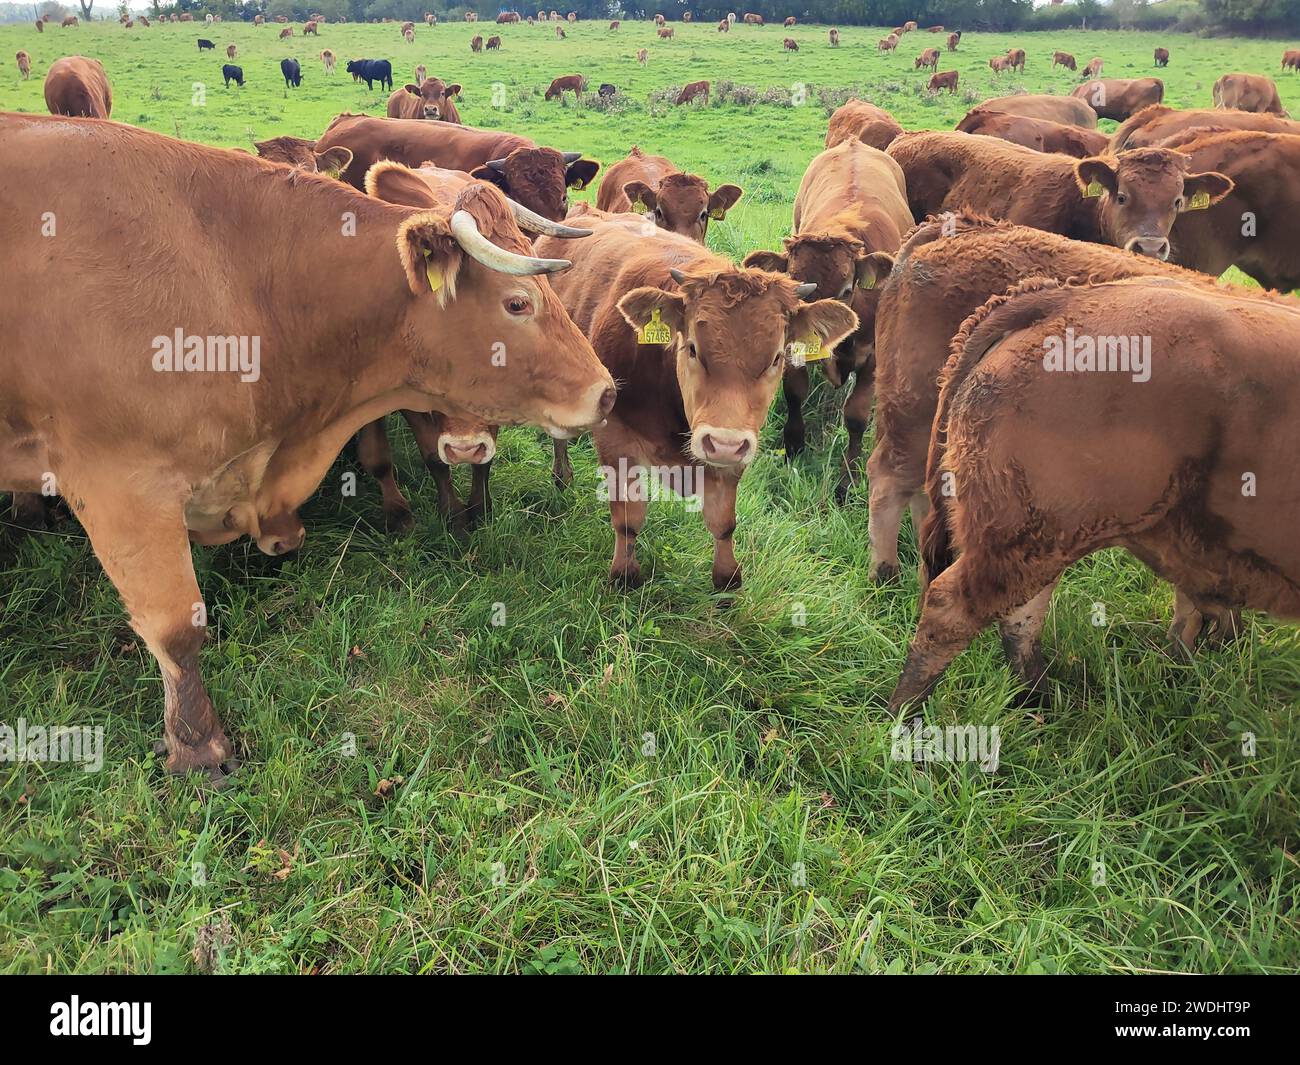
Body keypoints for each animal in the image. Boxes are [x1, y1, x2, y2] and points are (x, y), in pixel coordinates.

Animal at [535, 206, 856, 590]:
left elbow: (723, 523)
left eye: (776, 358)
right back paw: (562, 475)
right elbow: (628, 518)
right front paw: (624, 576)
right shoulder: (615, 438)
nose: (723, 443)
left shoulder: (736, 448)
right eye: (692, 348)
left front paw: (727, 580)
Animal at [742, 140, 911, 499]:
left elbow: (857, 416)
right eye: (793, 286)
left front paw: (848, 480)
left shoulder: (873, 357)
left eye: (847, 290)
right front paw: (793, 449)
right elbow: (794, 393)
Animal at [889, 276, 1300, 713]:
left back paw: (1044, 704)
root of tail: (1064, 298)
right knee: (950, 611)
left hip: (1039, 539)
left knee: (1020, 621)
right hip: (1027, 540)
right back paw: (905, 717)